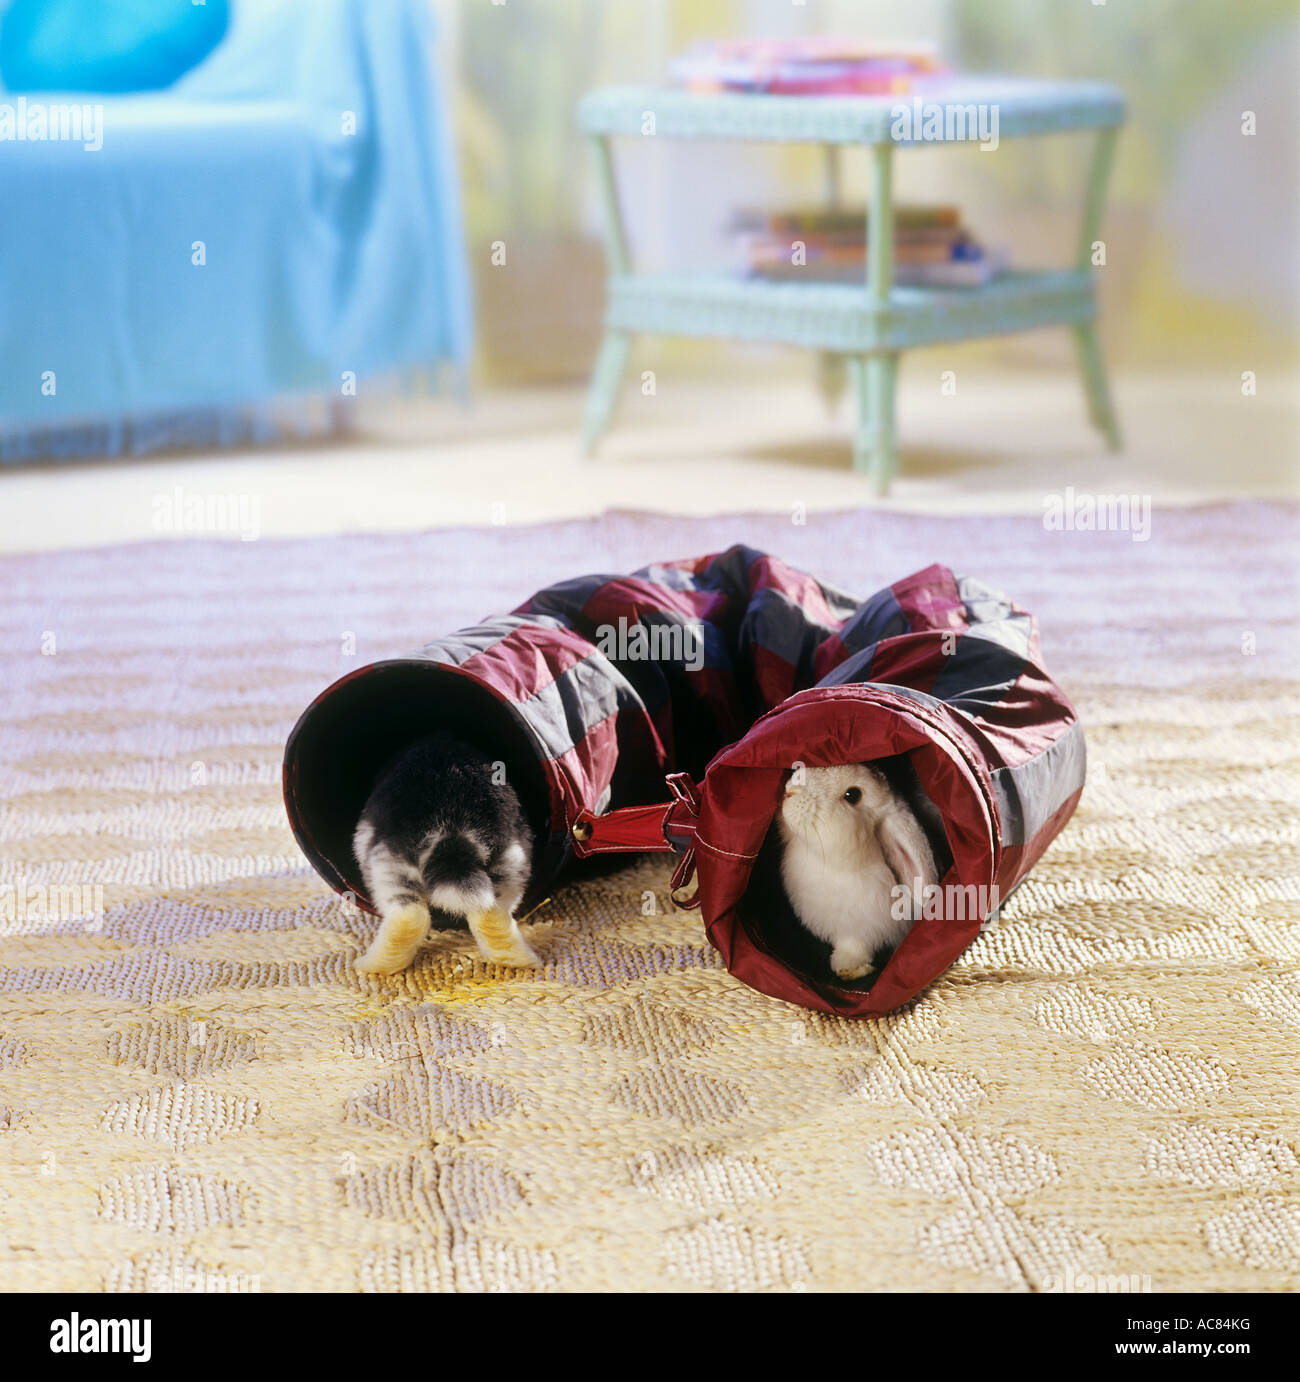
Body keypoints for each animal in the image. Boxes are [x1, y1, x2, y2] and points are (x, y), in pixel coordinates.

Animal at [351, 731, 538, 975]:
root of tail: (451, 830)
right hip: (509, 862)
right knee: (490, 913)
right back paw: (522, 961)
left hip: (389, 868)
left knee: (410, 916)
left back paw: (368, 966)